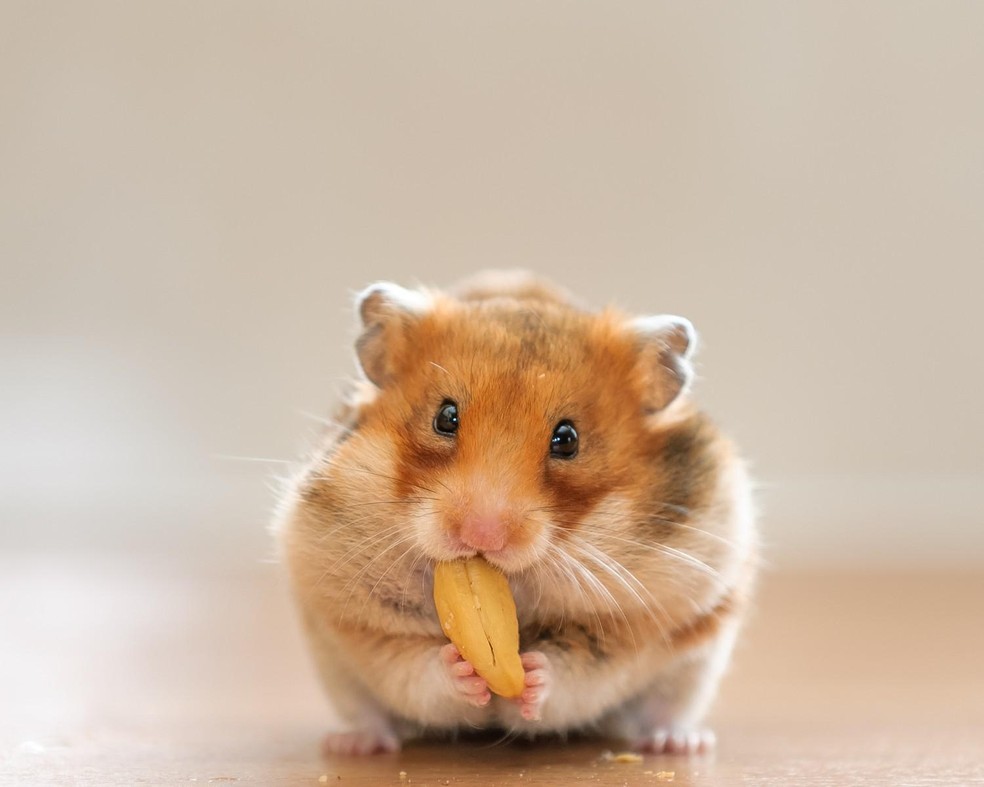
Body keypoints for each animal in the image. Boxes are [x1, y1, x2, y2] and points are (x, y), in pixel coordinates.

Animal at [275, 270, 757, 756]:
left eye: (568, 439)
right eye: (445, 417)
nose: (481, 537)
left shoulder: (636, 624)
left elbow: (579, 671)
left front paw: (532, 675)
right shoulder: (358, 617)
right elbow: (414, 665)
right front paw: (462, 669)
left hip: (695, 666)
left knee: (663, 710)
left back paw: (679, 743)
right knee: (369, 712)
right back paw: (353, 744)